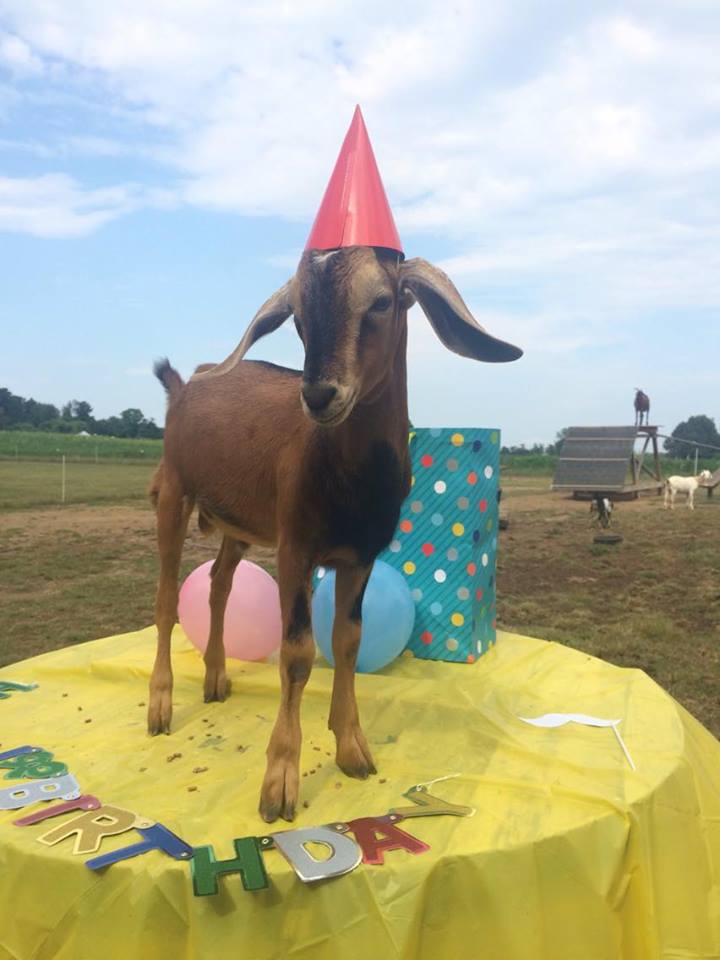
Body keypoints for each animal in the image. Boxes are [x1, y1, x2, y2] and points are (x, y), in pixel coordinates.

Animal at [148, 247, 522, 822]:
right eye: (298, 318)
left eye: (383, 301)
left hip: (239, 522)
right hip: (174, 491)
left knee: (218, 586)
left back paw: (215, 678)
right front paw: (280, 780)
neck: (346, 477)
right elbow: (298, 653)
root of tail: (188, 385)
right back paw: (161, 706)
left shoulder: (360, 556)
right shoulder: (295, 548)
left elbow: (349, 642)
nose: (320, 394)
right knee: (167, 599)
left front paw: (352, 748)